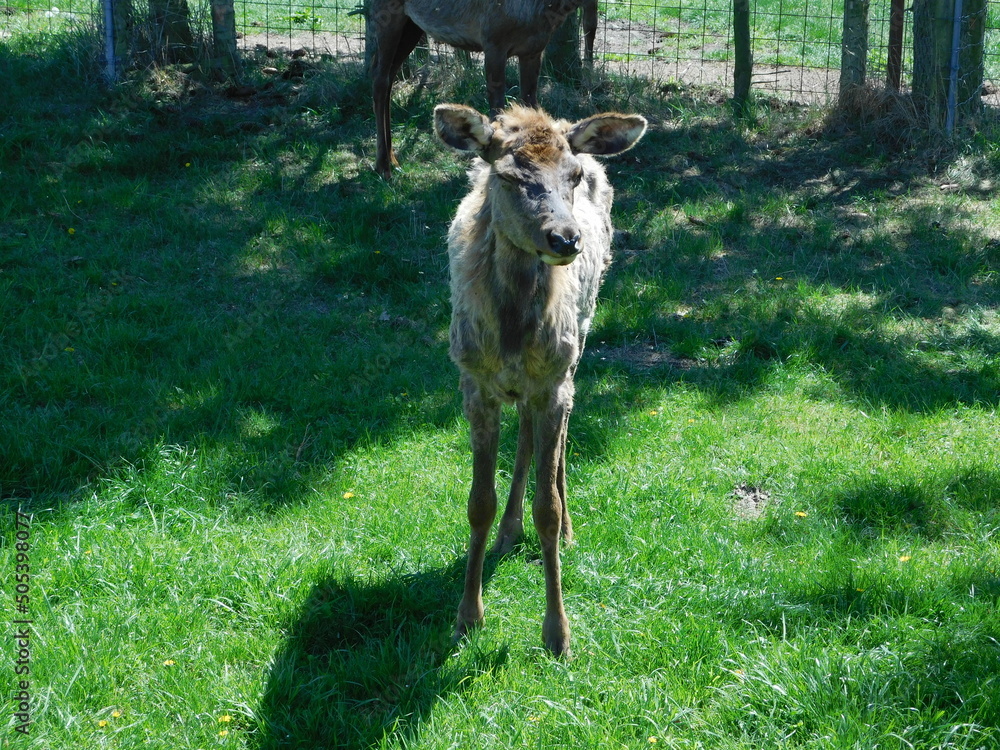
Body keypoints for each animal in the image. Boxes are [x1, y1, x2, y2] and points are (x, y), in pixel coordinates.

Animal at [369, 0, 599, 179]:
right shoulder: (493, 42)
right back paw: (383, 166)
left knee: (389, 77)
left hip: (412, 26)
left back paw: (391, 158)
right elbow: (497, 109)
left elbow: (530, 105)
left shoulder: (533, 50)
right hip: (388, 15)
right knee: (379, 78)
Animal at [434, 103, 646, 656]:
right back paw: (509, 530)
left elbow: (546, 508)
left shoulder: (552, 382)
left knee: (562, 431)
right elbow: (478, 503)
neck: (511, 333)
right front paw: (468, 616)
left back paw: (567, 527)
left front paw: (558, 632)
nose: (565, 238)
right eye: (508, 176)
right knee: (527, 435)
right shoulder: (473, 383)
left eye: (571, 176)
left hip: (577, 343)